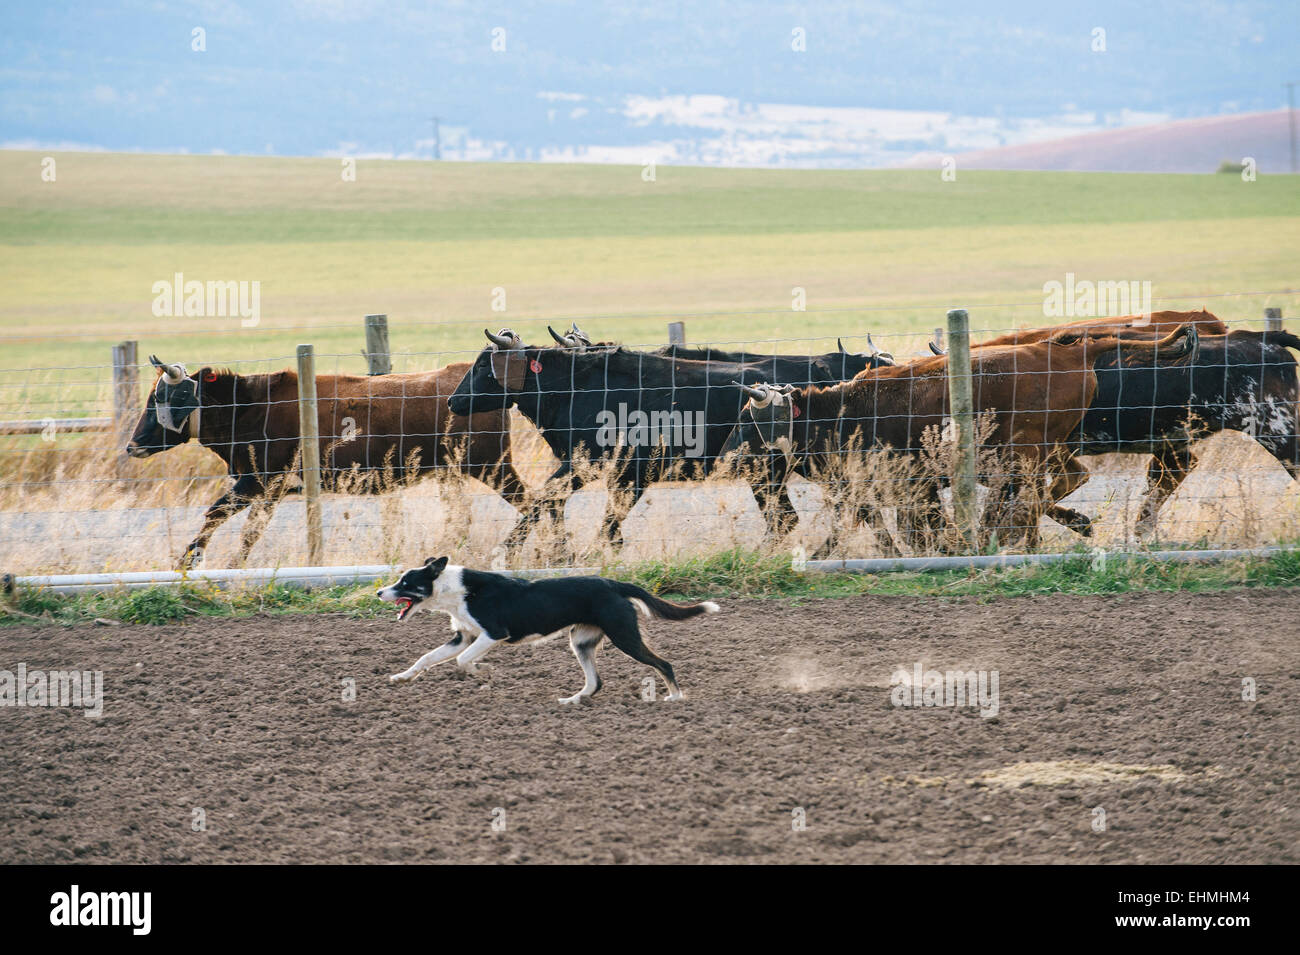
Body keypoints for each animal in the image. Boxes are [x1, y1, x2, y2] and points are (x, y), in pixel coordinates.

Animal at [124, 356, 525, 566]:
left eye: (167, 397)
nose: (132, 445)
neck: (251, 406)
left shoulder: (262, 483)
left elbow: (227, 519)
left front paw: (200, 562)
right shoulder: (263, 487)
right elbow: (231, 521)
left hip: (493, 466)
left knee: (534, 503)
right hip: (455, 472)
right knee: (462, 520)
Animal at [722, 327, 1196, 553]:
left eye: (746, 422)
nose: (726, 458)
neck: (846, 413)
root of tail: (1064, 350)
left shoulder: (914, 487)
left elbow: (909, 530)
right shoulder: (873, 491)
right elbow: (881, 528)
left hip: (1025, 451)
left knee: (1036, 492)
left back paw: (1003, 531)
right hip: (1043, 451)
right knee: (1062, 481)